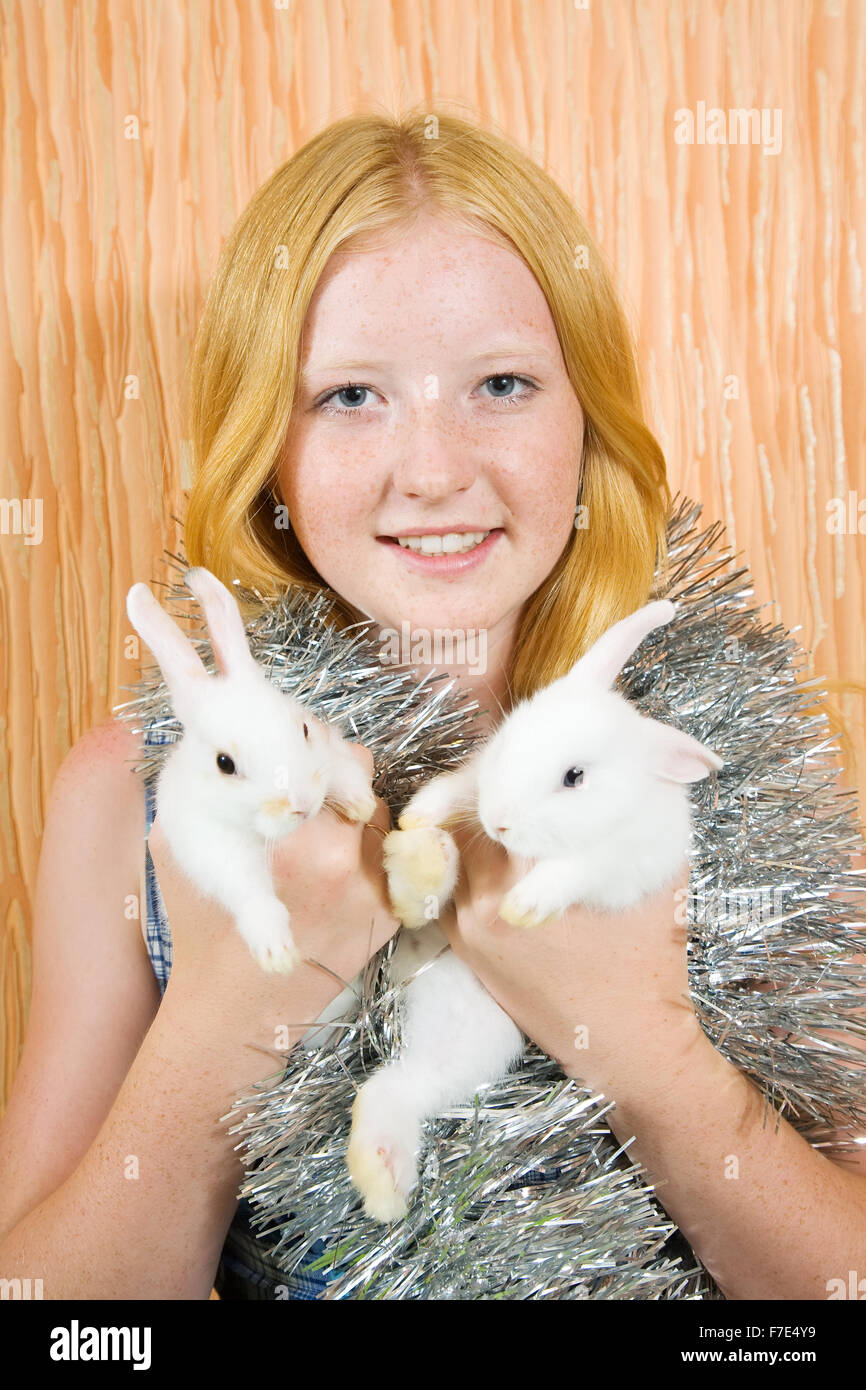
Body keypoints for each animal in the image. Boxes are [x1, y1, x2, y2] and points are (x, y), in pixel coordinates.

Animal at [126, 566, 377, 975]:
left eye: (304, 729)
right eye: (224, 764)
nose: (302, 805)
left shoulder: (331, 752)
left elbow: (343, 773)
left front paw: (361, 805)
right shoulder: (216, 850)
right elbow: (251, 894)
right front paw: (277, 956)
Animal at [346, 598, 724, 1222]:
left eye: (575, 776)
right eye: (512, 737)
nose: (499, 822)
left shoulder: (623, 865)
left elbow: (575, 869)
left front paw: (524, 905)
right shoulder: (478, 777)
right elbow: (460, 786)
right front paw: (421, 811)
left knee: (400, 1087)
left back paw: (380, 1181)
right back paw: (420, 856)